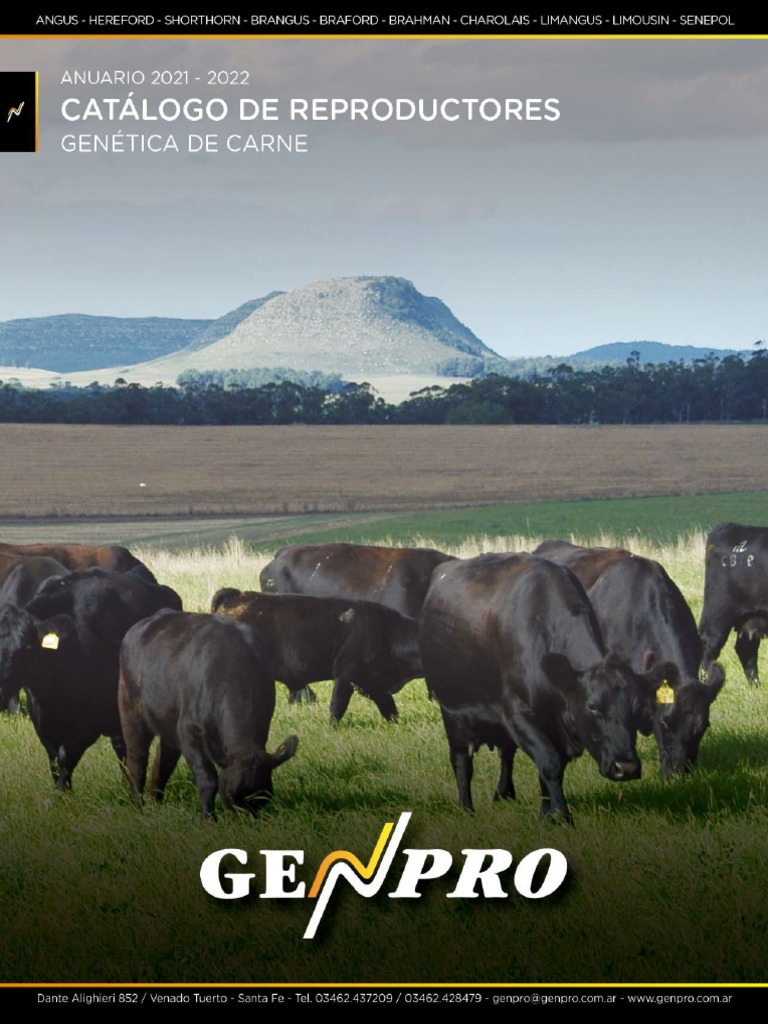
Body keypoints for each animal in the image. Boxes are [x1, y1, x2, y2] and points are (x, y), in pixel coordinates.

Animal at [118, 609, 298, 818]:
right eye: (232, 795)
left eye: (263, 798)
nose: (248, 821)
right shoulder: (188, 729)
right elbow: (208, 778)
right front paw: (208, 817)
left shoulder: (263, 724)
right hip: (130, 711)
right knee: (136, 761)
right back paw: (138, 805)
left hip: (167, 721)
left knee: (164, 760)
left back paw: (155, 801)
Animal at [419, 553, 672, 823]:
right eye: (593, 707)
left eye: (636, 707)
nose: (626, 767)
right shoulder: (518, 714)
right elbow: (550, 763)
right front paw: (562, 816)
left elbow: (545, 770)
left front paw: (546, 816)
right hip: (452, 711)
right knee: (461, 762)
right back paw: (466, 808)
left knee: (506, 753)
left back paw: (503, 794)